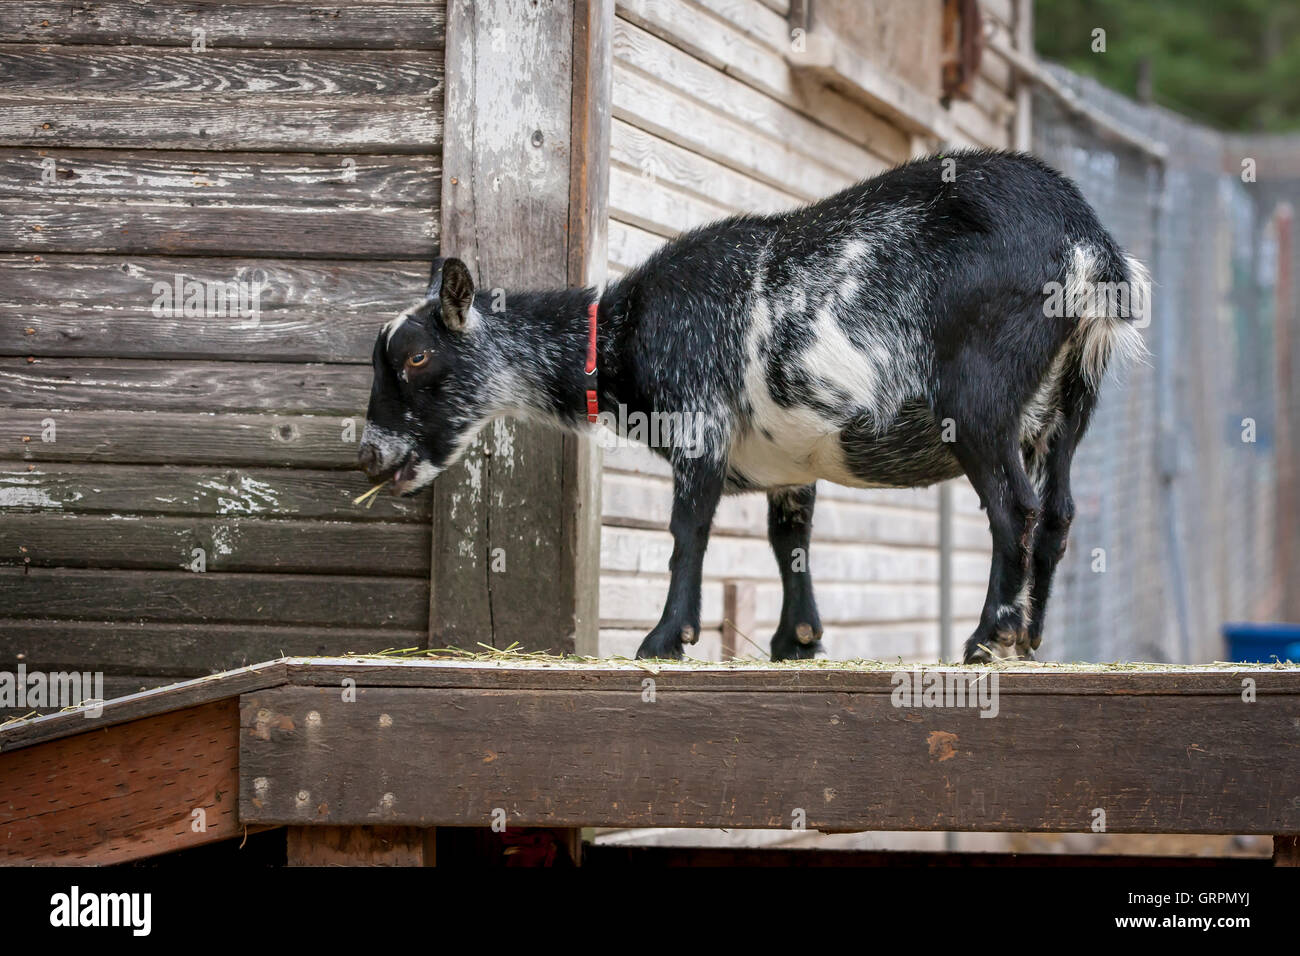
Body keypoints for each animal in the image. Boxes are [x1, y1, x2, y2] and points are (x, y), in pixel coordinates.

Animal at [358, 150, 1148, 663]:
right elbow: (787, 541)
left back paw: (989, 638)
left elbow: (688, 530)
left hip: (980, 396)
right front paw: (796, 641)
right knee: (1059, 511)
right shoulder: (791, 463)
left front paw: (664, 640)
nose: (369, 452)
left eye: (417, 358)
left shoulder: (699, 420)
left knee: (1015, 507)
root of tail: (1089, 247)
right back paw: (1032, 639)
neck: (619, 331)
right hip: (1069, 402)